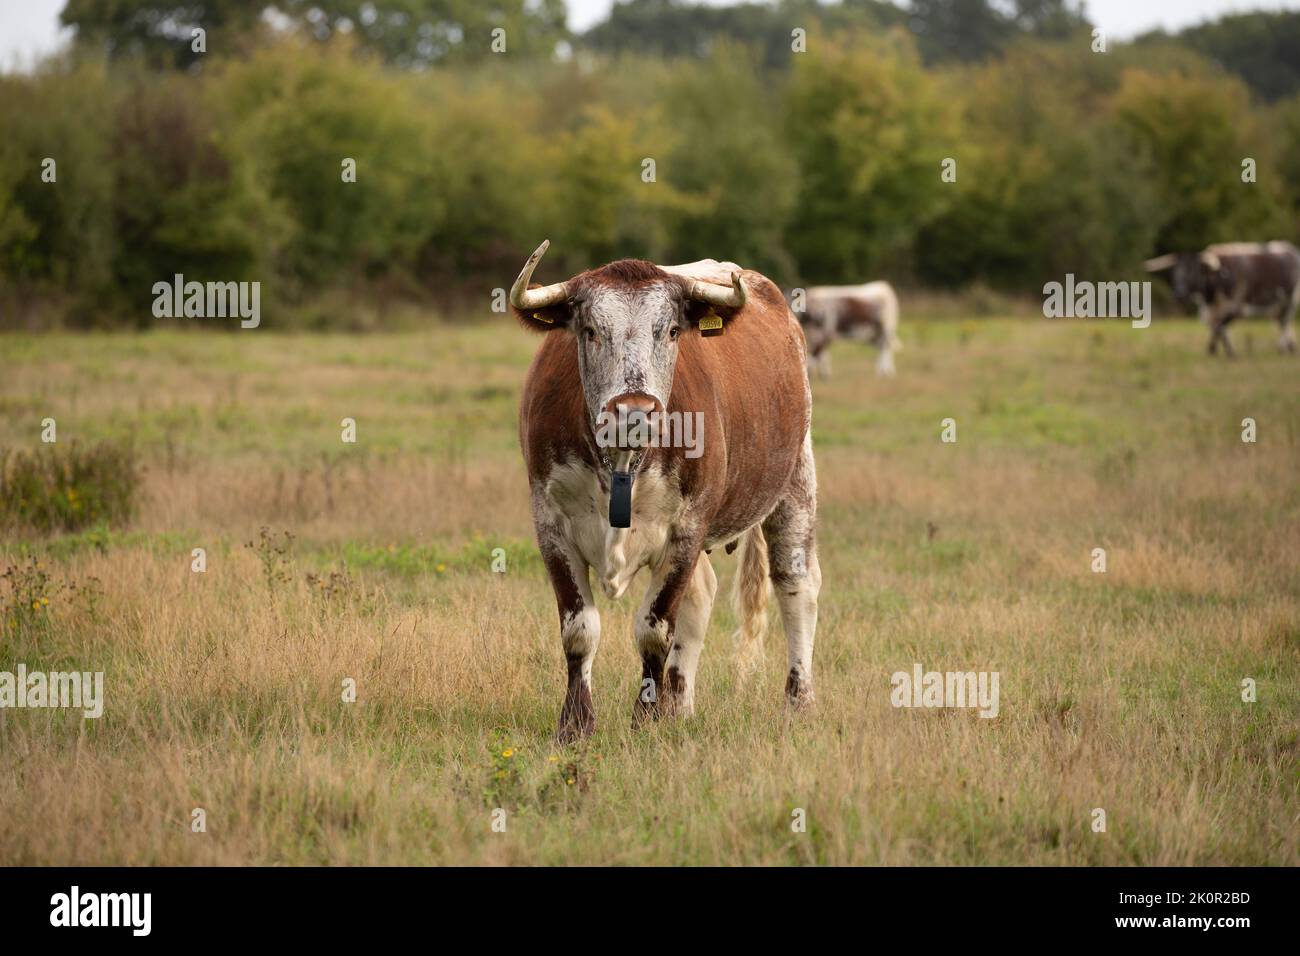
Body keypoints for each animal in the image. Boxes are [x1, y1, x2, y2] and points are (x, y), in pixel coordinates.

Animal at [509, 240, 821, 742]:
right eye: (591, 330)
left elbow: (654, 630)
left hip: (794, 481)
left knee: (797, 586)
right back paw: (681, 706)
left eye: (673, 331)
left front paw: (646, 718)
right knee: (701, 597)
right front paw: (576, 723)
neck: (620, 466)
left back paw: (798, 703)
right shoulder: (550, 526)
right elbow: (579, 630)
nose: (634, 411)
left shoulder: (686, 530)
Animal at [1144, 241, 1300, 356]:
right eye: (1174, 273)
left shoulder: (1235, 307)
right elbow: (1217, 328)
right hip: (1277, 304)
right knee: (1281, 321)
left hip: (1289, 299)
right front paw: (1221, 351)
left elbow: (1220, 327)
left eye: (1193, 270)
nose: (1178, 295)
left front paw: (1222, 352)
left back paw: (1284, 349)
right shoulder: (1211, 310)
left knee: (1285, 321)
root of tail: (1291, 250)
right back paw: (1288, 347)